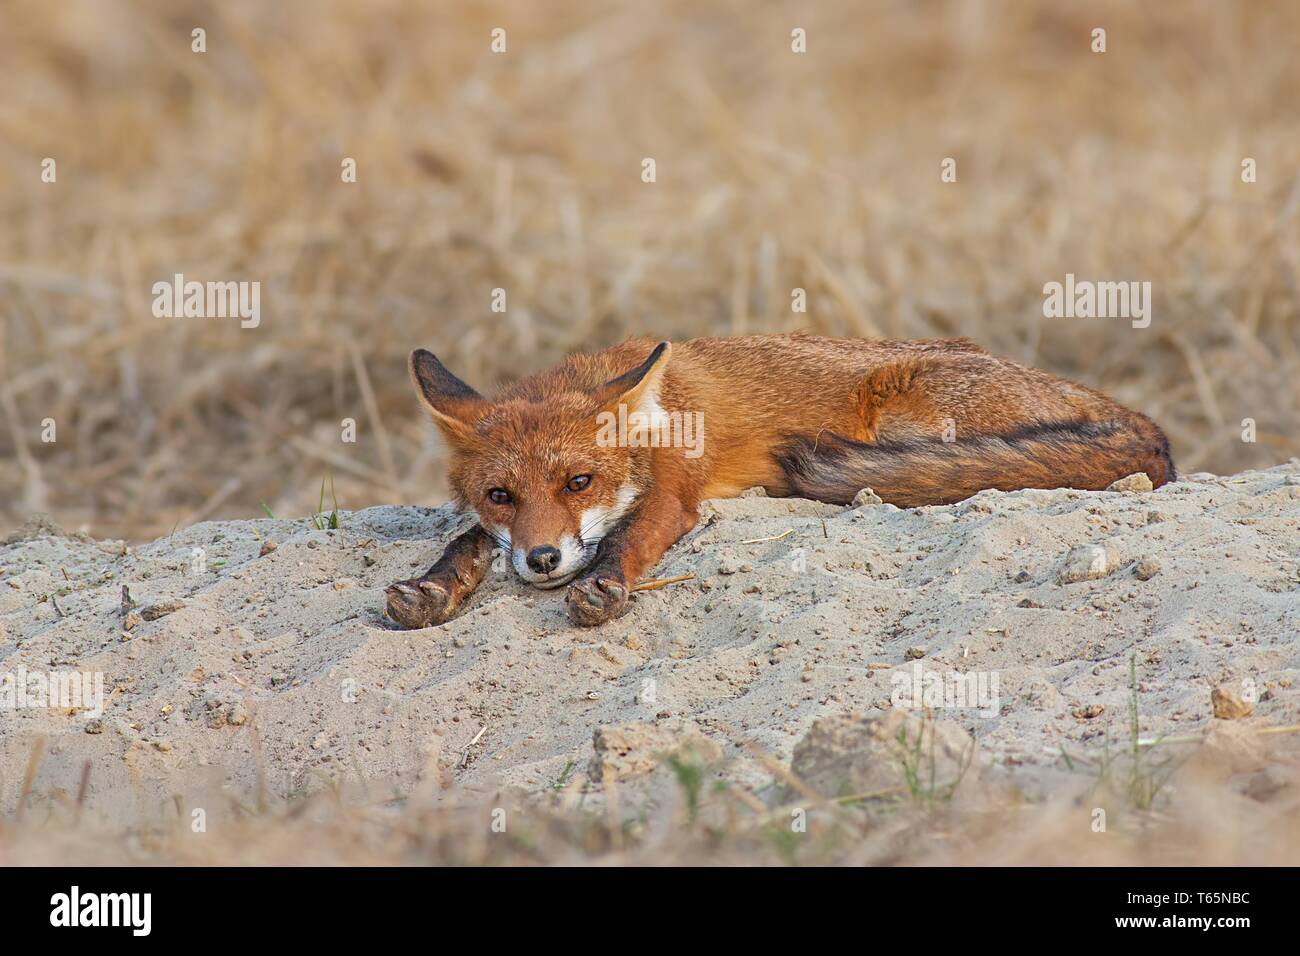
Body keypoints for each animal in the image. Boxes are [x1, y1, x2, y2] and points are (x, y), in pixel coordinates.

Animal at [385, 333, 1175, 629]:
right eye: (501, 496)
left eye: (579, 482)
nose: (543, 560)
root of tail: (1137, 417)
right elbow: (465, 541)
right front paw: (434, 587)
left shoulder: (674, 494)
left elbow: (626, 540)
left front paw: (604, 585)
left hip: (906, 412)